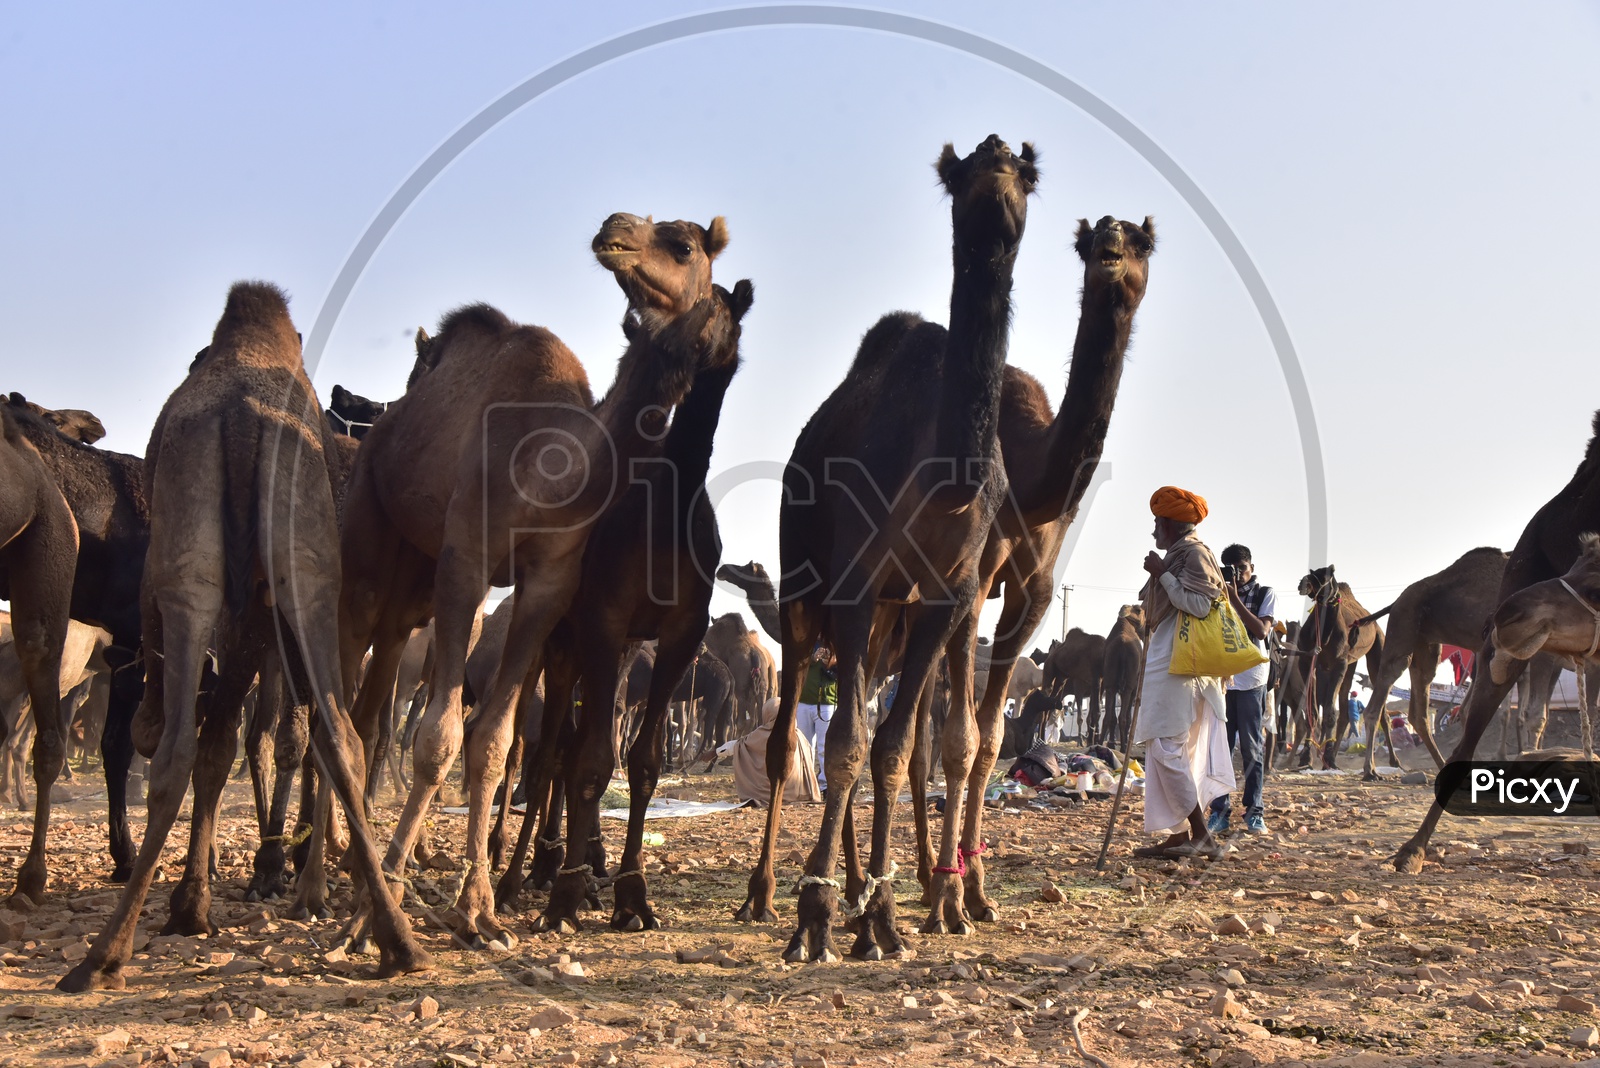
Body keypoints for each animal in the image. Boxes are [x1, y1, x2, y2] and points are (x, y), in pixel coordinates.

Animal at [60, 282, 430, 992]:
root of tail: (242, 420)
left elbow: (199, 736)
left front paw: (199, 896)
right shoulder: (263, 610)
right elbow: (235, 739)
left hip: (191, 574)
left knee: (174, 743)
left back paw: (112, 947)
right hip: (306, 570)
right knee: (337, 736)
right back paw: (396, 940)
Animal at [334, 213, 737, 951]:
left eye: (683, 244)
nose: (614, 230)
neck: (554, 463)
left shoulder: (548, 584)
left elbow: (493, 744)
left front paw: (478, 909)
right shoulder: (468, 557)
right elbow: (439, 739)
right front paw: (386, 907)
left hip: (415, 583)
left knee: (374, 712)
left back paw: (355, 864)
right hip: (372, 531)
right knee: (344, 698)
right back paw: (321, 874)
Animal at [736, 135, 1038, 964]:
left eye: (1024, 174)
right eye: (964, 174)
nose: (997, 197)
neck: (946, 478)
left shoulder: (946, 595)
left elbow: (895, 748)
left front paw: (882, 919)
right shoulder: (855, 579)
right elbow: (842, 744)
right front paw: (814, 917)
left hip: (886, 623)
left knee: (873, 732)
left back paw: (857, 896)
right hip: (807, 597)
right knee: (787, 739)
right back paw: (769, 894)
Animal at [1101, 605, 1146, 750]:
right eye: (1141, 611)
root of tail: (1122, 646)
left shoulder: (1112, 685)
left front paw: (1111, 743)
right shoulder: (1133, 687)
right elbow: (1128, 717)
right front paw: (1122, 743)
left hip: (1110, 682)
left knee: (1108, 717)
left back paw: (1099, 743)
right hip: (1128, 686)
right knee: (1123, 718)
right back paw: (1123, 747)